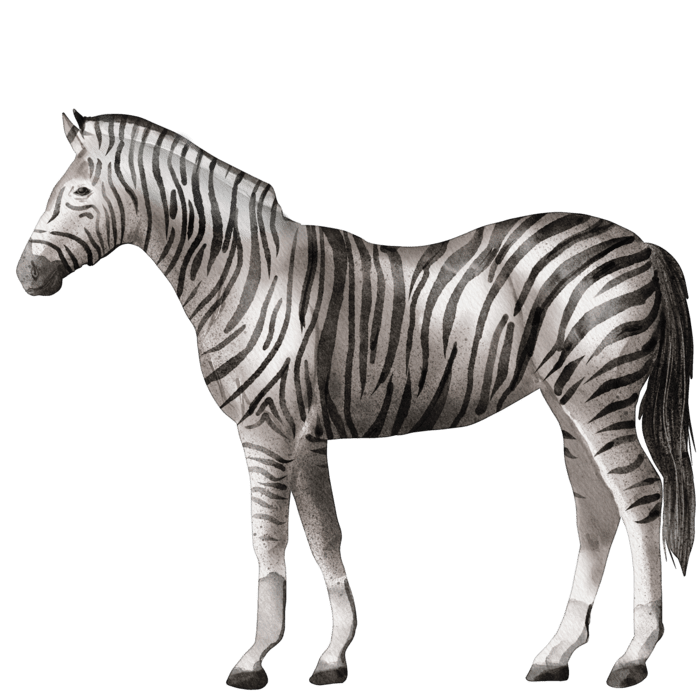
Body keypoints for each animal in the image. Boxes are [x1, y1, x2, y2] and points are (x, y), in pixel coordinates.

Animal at [16, 109, 694, 691]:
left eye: (79, 195)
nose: (27, 276)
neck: (247, 275)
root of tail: (639, 241)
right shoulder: (305, 434)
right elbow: (325, 537)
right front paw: (333, 655)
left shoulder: (265, 430)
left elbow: (268, 541)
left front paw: (253, 660)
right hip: (567, 400)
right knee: (597, 511)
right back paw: (557, 654)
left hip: (598, 393)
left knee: (640, 497)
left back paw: (633, 657)